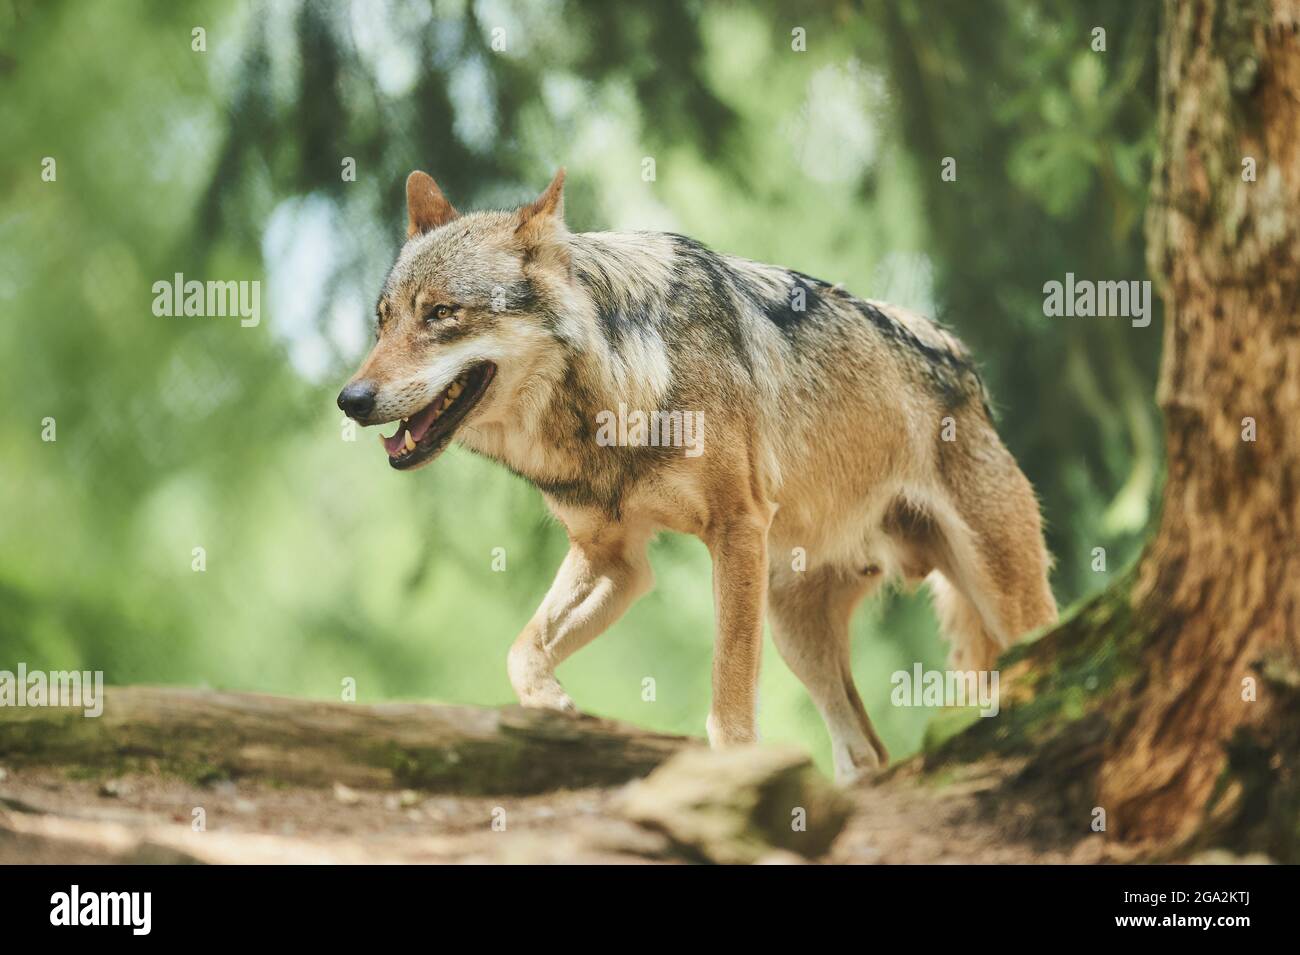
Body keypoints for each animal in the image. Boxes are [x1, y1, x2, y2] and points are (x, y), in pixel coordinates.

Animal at [337, 169, 1058, 781]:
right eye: (383, 320)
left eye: (441, 314)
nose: (351, 400)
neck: (623, 389)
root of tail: (962, 360)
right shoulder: (614, 558)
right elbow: (522, 649)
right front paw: (554, 709)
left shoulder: (736, 529)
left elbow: (728, 700)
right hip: (797, 632)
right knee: (867, 752)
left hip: (1001, 599)